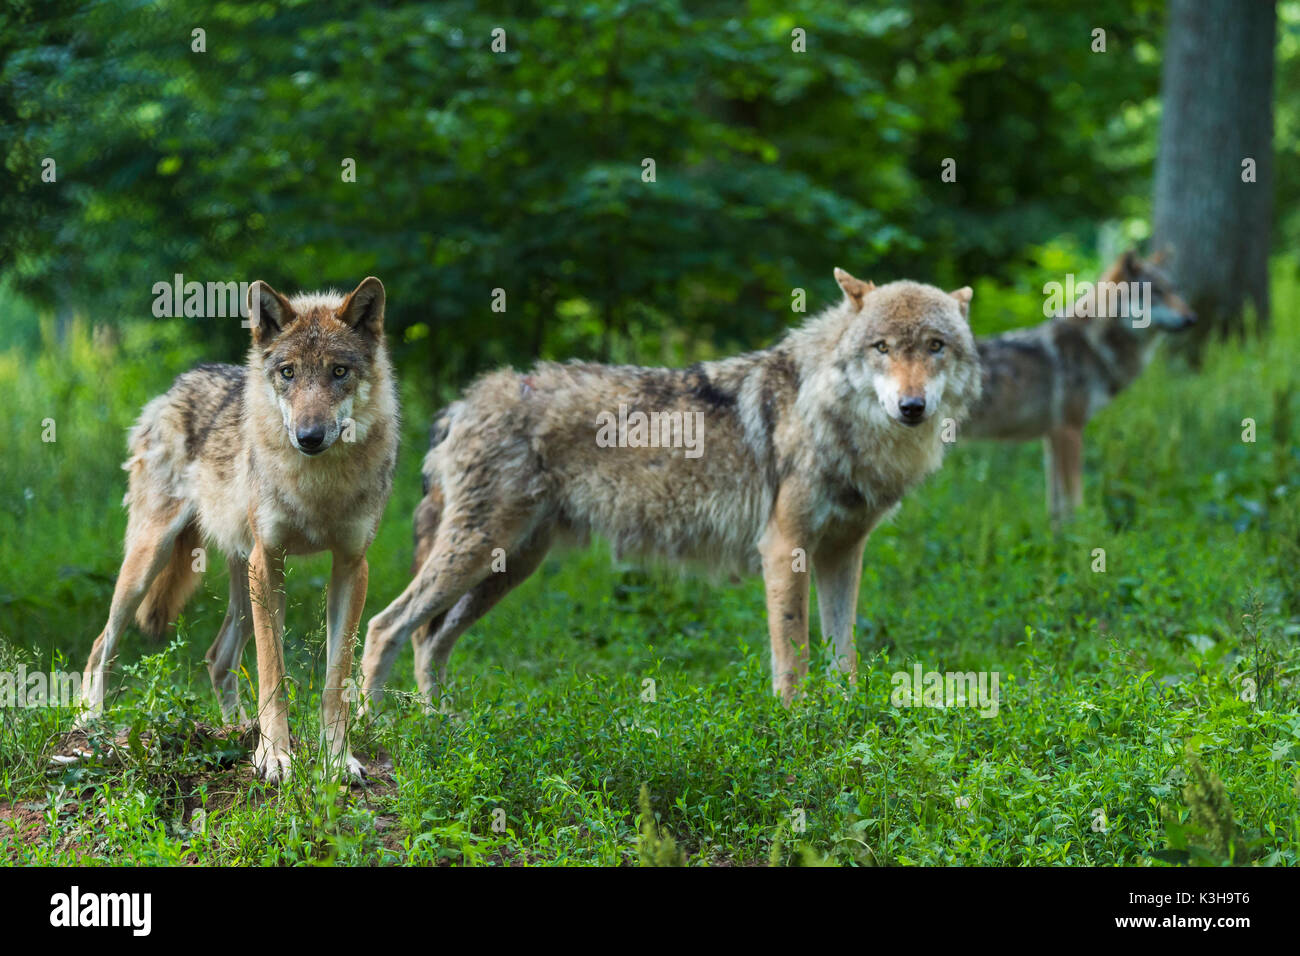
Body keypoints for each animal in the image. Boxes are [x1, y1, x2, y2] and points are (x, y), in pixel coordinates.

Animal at [78, 278, 398, 782]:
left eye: (339, 371)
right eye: (288, 373)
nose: (309, 437)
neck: (318, 484)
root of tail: (174, 387)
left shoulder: (351, 566)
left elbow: (336, 679)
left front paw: (337, 760)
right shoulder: (269, 561)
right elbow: (272, 671)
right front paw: (275, 757)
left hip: (241, 583)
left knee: (217, 658)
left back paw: (235, 729)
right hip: (152, 560)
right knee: (100, 644)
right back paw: (89, 723)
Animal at [358, 270, 981, 709]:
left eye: (934, 346)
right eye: (882, 347)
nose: (912, 406)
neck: (828, 411)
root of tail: (461, 403)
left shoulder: (842, 554)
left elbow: (843, 655)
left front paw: (850, 723)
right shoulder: (785, 549)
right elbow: (794, 658)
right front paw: (798, 726)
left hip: (508, 566)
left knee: (429, 639)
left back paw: (443, 726)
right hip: (478, 553)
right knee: (386, 626)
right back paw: (372, 734)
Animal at [962, 250, 1196, 525]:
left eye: (1174, 290)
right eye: (1156, 292)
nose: (1192, 319)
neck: (1093, 346)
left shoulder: (1052, 436)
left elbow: (1056, 509)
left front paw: (1058, 536)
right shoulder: (1069, 430)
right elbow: (1074, 502)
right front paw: (1081, 533)